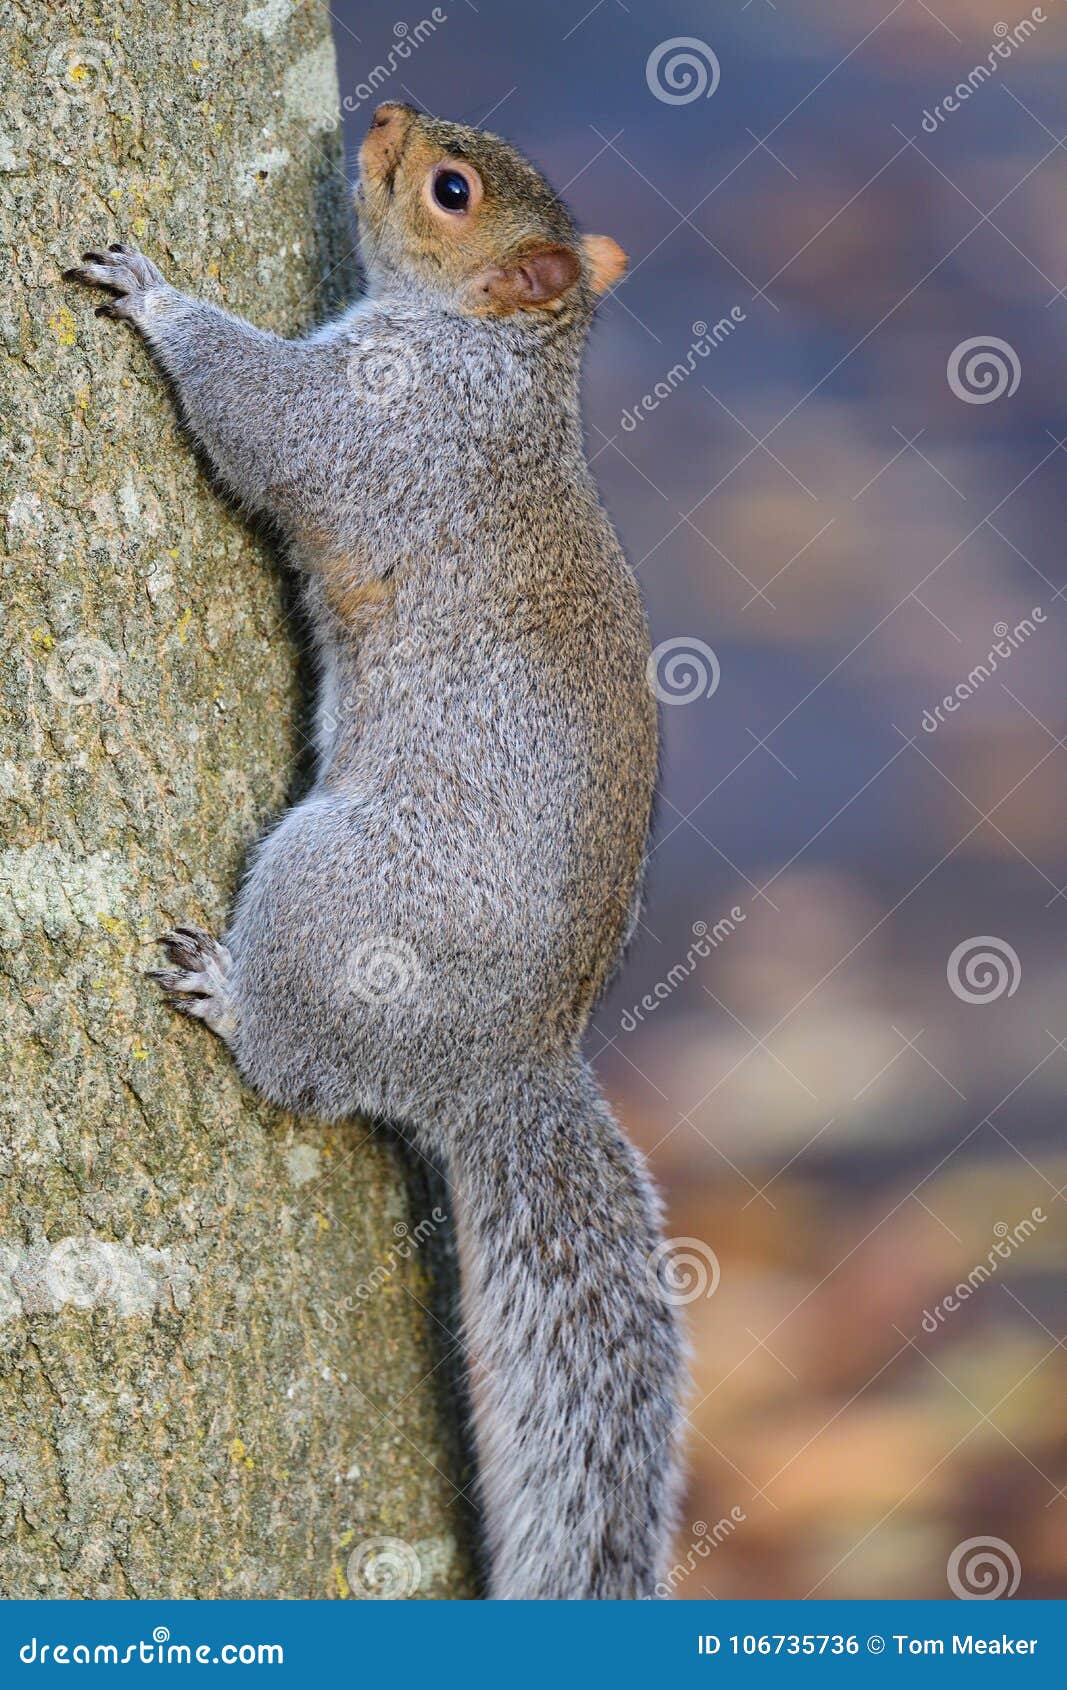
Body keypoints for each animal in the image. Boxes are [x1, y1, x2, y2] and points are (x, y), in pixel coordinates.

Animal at [66, 103, 684, 1600]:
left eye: (450, 190)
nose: (390, 121)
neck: (501, 360)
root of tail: (496, 1061)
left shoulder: (379, 419)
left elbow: (265, 417)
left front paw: (153, 292)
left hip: (333, 892)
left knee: (299, 1072)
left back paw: (231, 998)